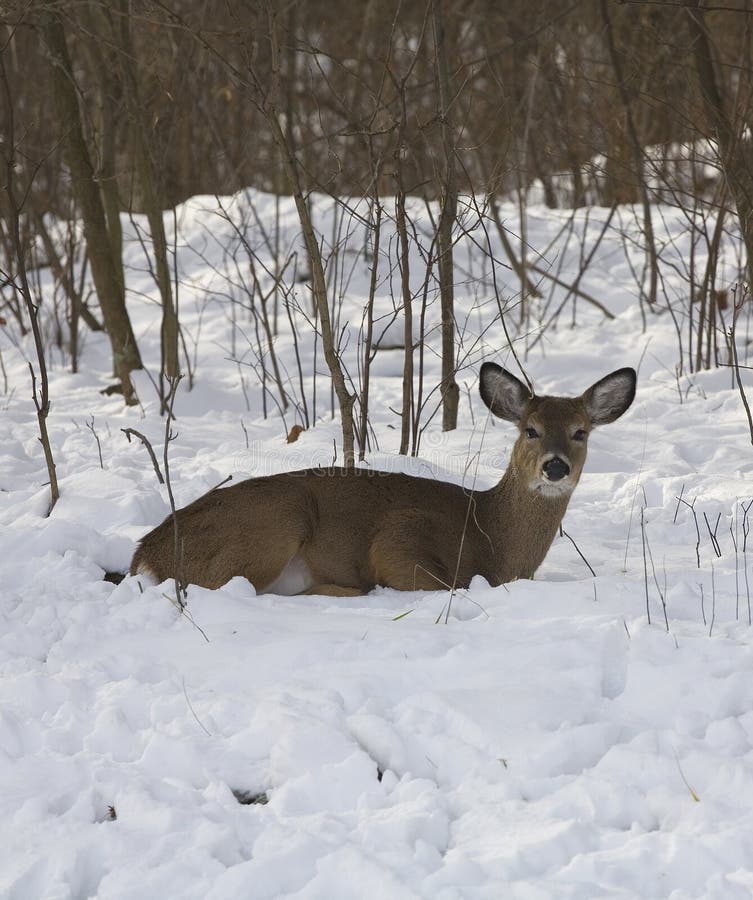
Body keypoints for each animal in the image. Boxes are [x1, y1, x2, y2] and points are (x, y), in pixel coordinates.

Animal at [129, 364, 636, 595]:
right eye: (530, 429)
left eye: (581, 432)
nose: (555, 466)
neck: (492, 537)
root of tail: (146, 553)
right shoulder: (400, 536)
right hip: (274, 522)